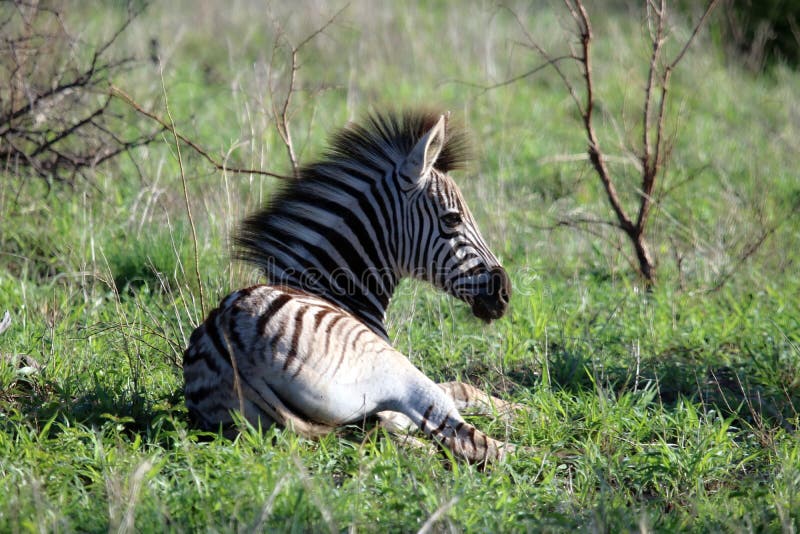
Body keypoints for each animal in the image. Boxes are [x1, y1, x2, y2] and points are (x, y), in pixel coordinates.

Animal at [183, 110, 517, 464]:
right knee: (472, 441)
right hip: (393, 371)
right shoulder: (389, 402)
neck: (332, 288)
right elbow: (462, 389)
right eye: (452, 219)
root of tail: (234, 351)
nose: (504, 292)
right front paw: (521, 410)